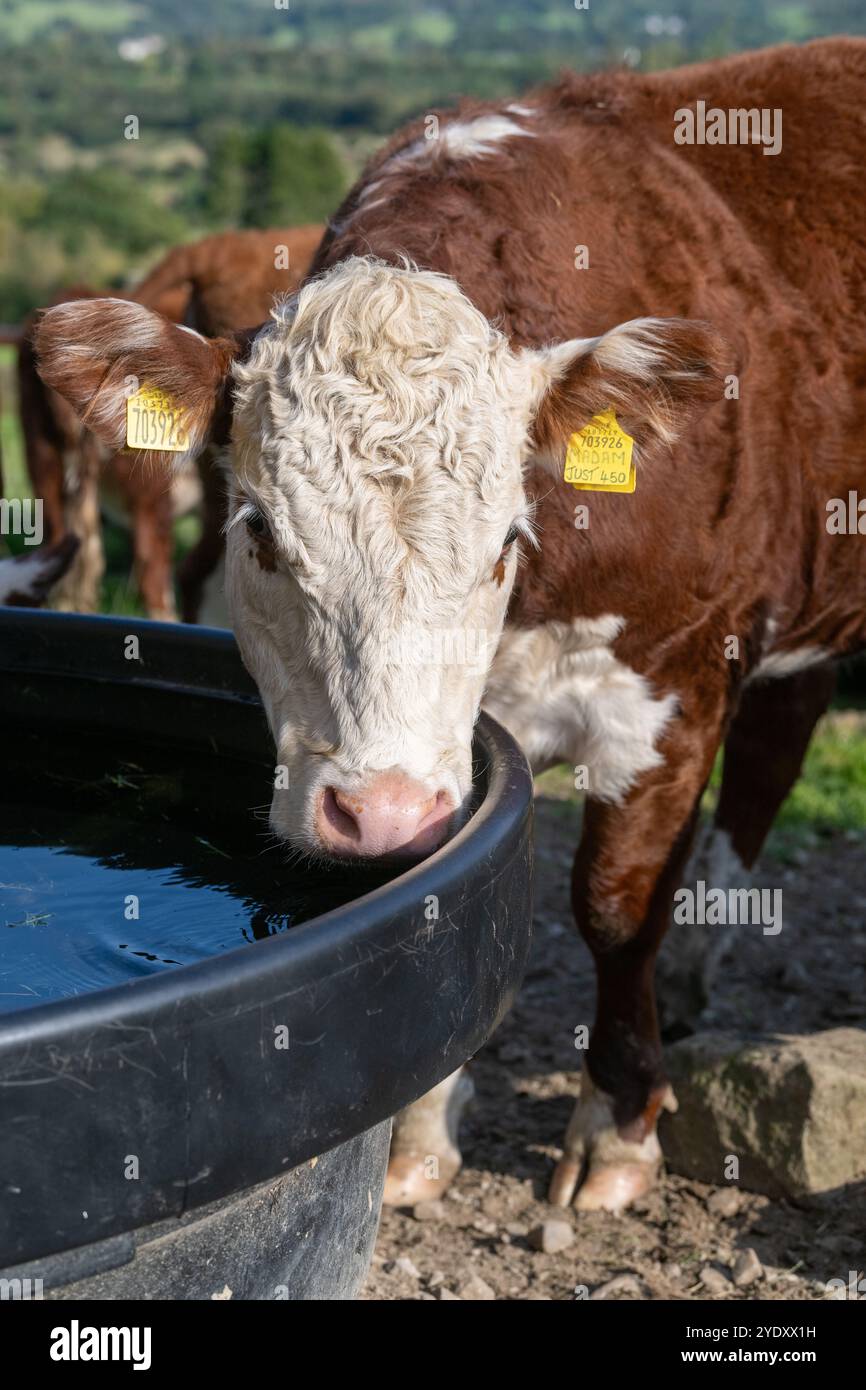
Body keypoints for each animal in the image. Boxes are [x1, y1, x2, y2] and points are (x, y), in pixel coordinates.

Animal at [34, 37, 866, 1214]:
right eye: (261, 534)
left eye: (506, 542)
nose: (377, 810)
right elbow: (440, 897)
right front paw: (418, 1131)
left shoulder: (677, 677)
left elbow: (616, 904)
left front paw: (616, 1126)